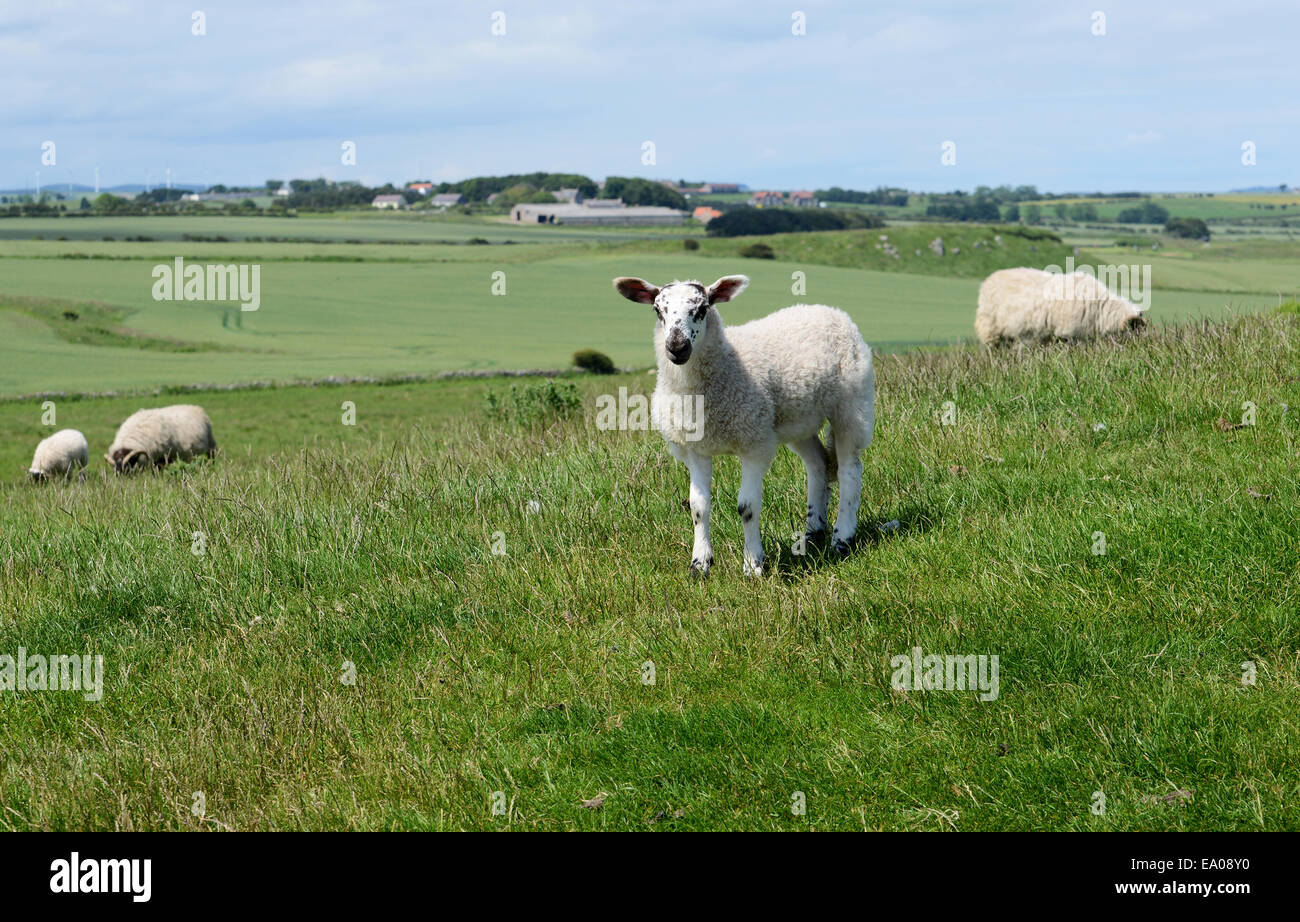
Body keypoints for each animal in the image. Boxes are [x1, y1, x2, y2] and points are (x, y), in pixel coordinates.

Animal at [612, 274, 875, 576]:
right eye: (658, 310)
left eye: (702, 309)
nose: (677, 348)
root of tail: (831, 310)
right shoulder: (696, 449)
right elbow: (698, 507)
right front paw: (700, 563)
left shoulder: (754, 443)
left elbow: (746, 507)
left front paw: (753, 564)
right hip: (797, 418)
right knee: (818, 463)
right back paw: (812, 532)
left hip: (852, 404)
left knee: (849, 471)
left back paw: (842, 537)